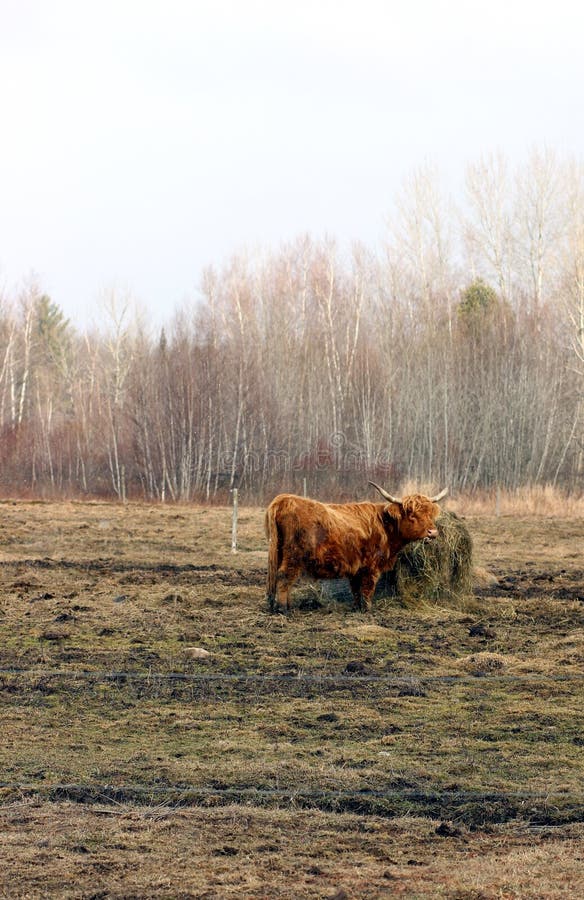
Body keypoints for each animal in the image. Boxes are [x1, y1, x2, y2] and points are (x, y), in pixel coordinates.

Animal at [265, 482, 447, 613]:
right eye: (411, 515)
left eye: (429, 513)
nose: (433, 532)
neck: (385, 525)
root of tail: (283, 500)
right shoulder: (371, 566)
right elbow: (367, 588)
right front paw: (366, 609)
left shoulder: (356, 566)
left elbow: (355, 589)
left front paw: (357, 607)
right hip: (294, 555)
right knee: (284, 576)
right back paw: (283, 609)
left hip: (279, 551)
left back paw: (286, 606)